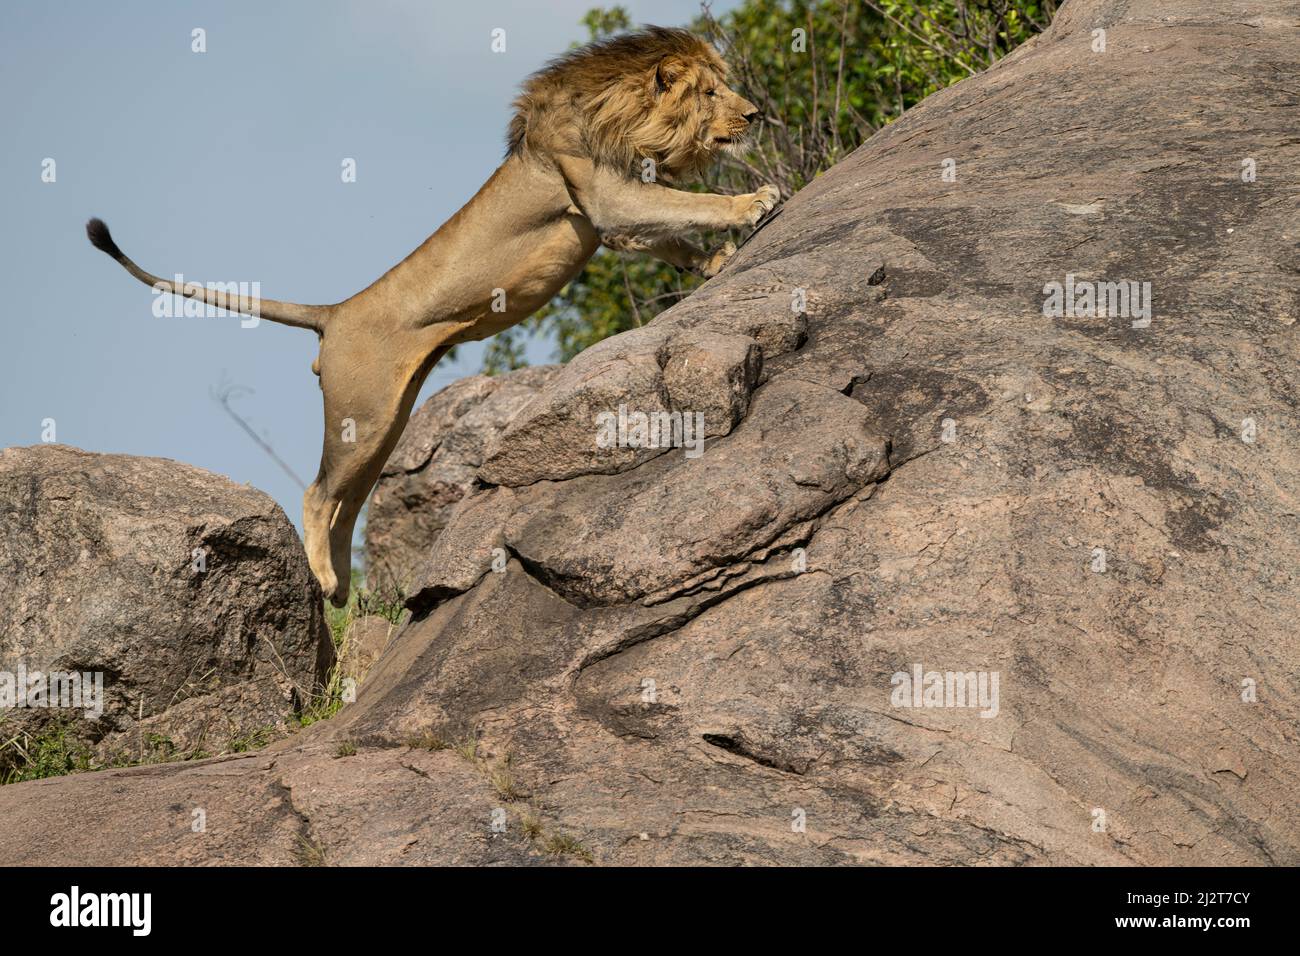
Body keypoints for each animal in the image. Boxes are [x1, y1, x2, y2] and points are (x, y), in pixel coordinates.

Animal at [86, 26, 780, 606]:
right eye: (711, 90)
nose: (754, 114)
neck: (622, 116)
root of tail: (334, 312)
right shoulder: (607, 198)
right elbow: (688, 203)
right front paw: (755, 201)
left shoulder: (620, 221)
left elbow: (675, 235)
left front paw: (716, 261)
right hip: (364, 417)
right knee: (317, 494)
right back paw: (323, 580)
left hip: (383, 425)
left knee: (346, 506)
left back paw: (346, 596)